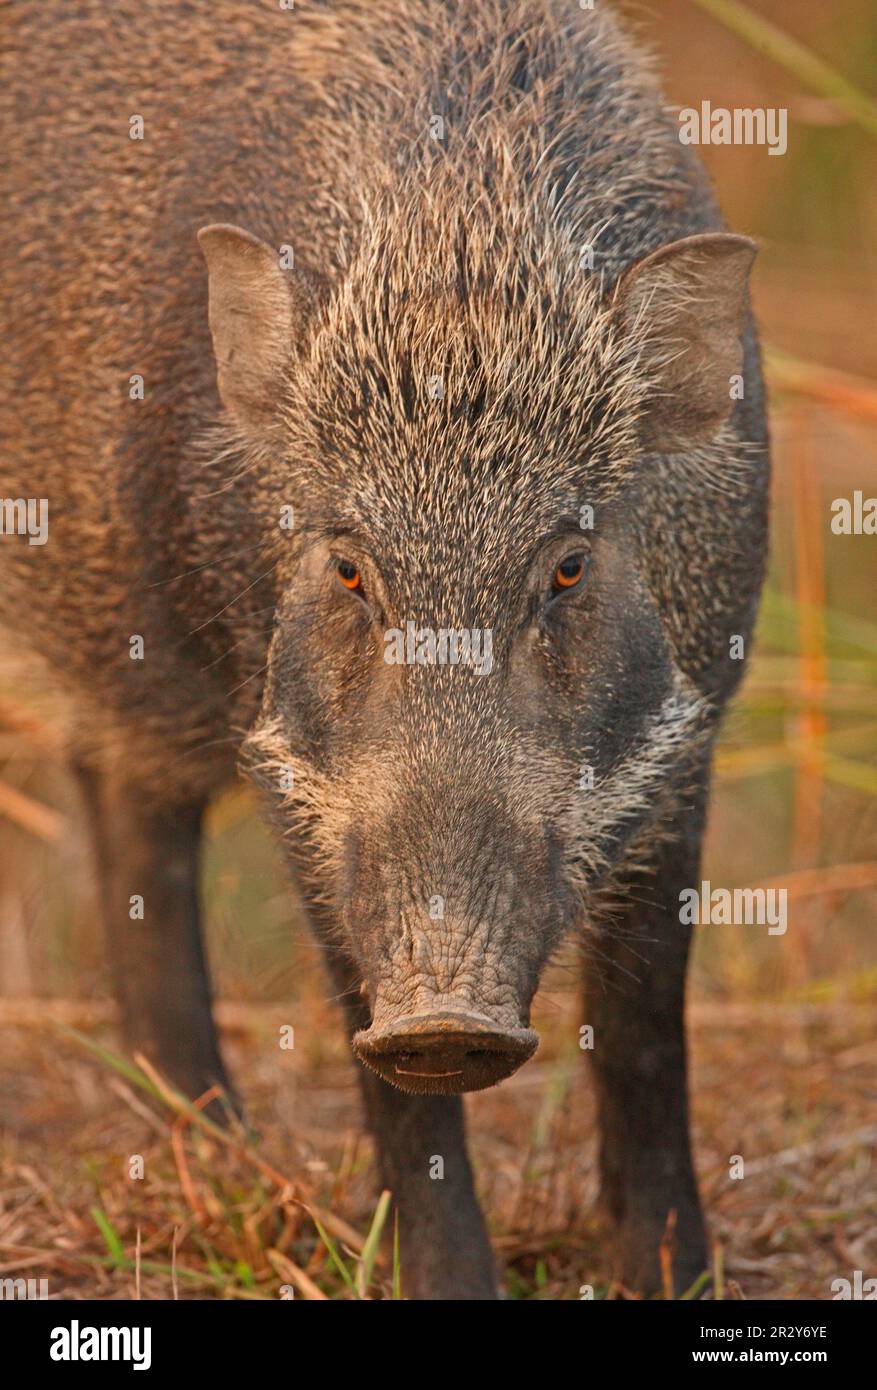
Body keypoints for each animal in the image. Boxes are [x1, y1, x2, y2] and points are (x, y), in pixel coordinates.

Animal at [0, 0, 769, 1298]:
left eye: (568, 565)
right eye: (351, 568)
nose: (443, 1016)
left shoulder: (692, 738)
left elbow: (644, 1028)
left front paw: (677, 1279)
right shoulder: (291, 768)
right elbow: (387, 1070)